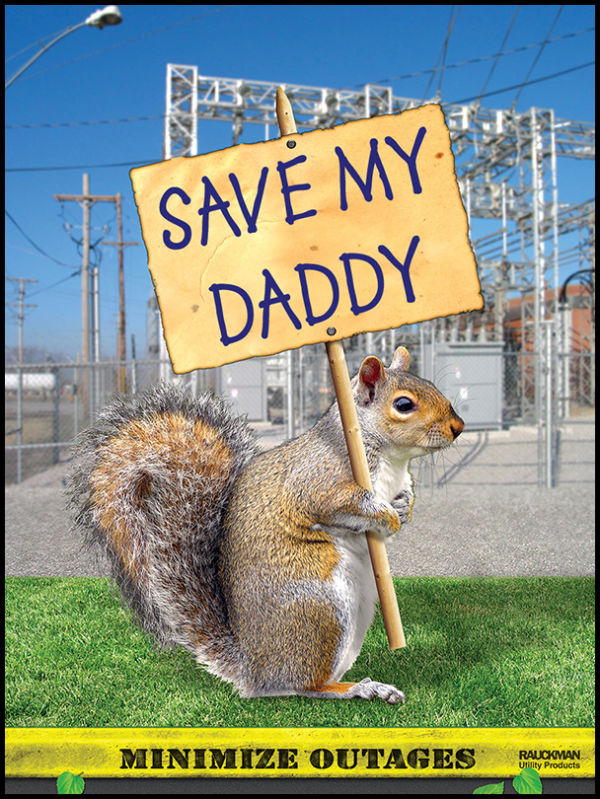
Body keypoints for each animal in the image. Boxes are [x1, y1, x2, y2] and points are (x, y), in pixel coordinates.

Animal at [65, 346, 464, 704]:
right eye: (404, 405)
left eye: (431, 384)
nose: (458, 427)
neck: (391, 459)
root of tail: (251, 669)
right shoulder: (320, 479)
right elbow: (340, 504)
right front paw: (385, 516)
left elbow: (404, 499)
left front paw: (403, 508)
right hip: (320, 608)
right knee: (303, 684)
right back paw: (359, 688)